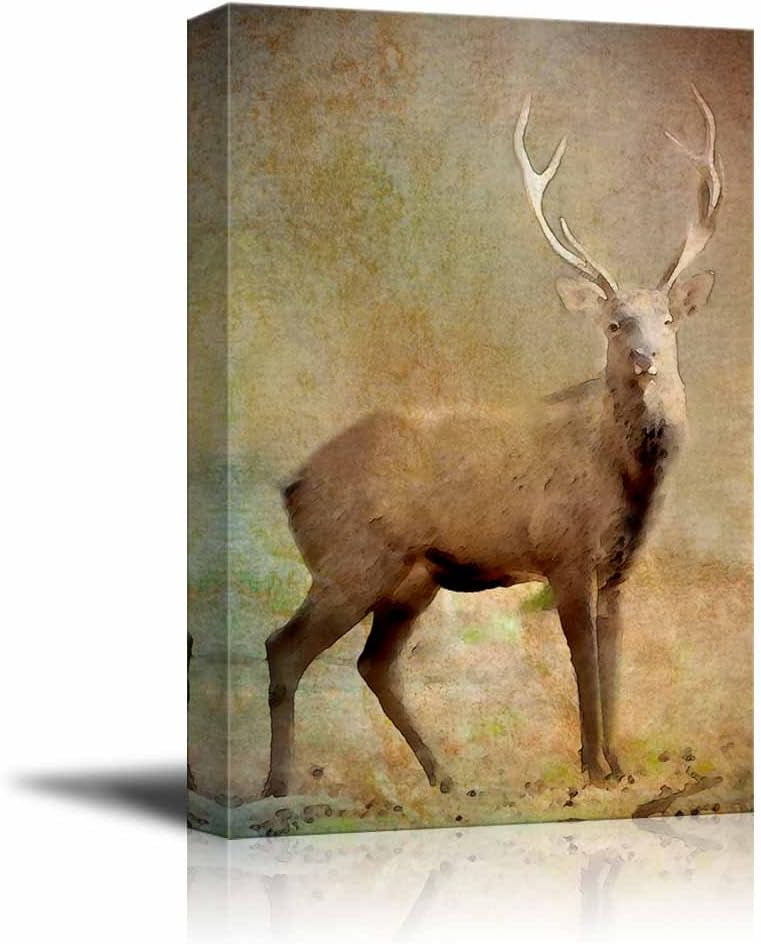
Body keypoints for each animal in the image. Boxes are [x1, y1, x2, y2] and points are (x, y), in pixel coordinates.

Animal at [262, 86, 723, 798]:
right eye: (615, 323)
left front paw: (618, 766)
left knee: (374, 664)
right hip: (351, 561)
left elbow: (614, 664)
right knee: (283, 650)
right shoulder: (564, 552)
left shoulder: (619, 569)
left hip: (412, 577)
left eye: (668, 318)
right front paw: (592, 768)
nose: (646, 358)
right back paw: (278, 789)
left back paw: (446, 777)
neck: (622, 477)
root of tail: (292, 484)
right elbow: (583, 661)